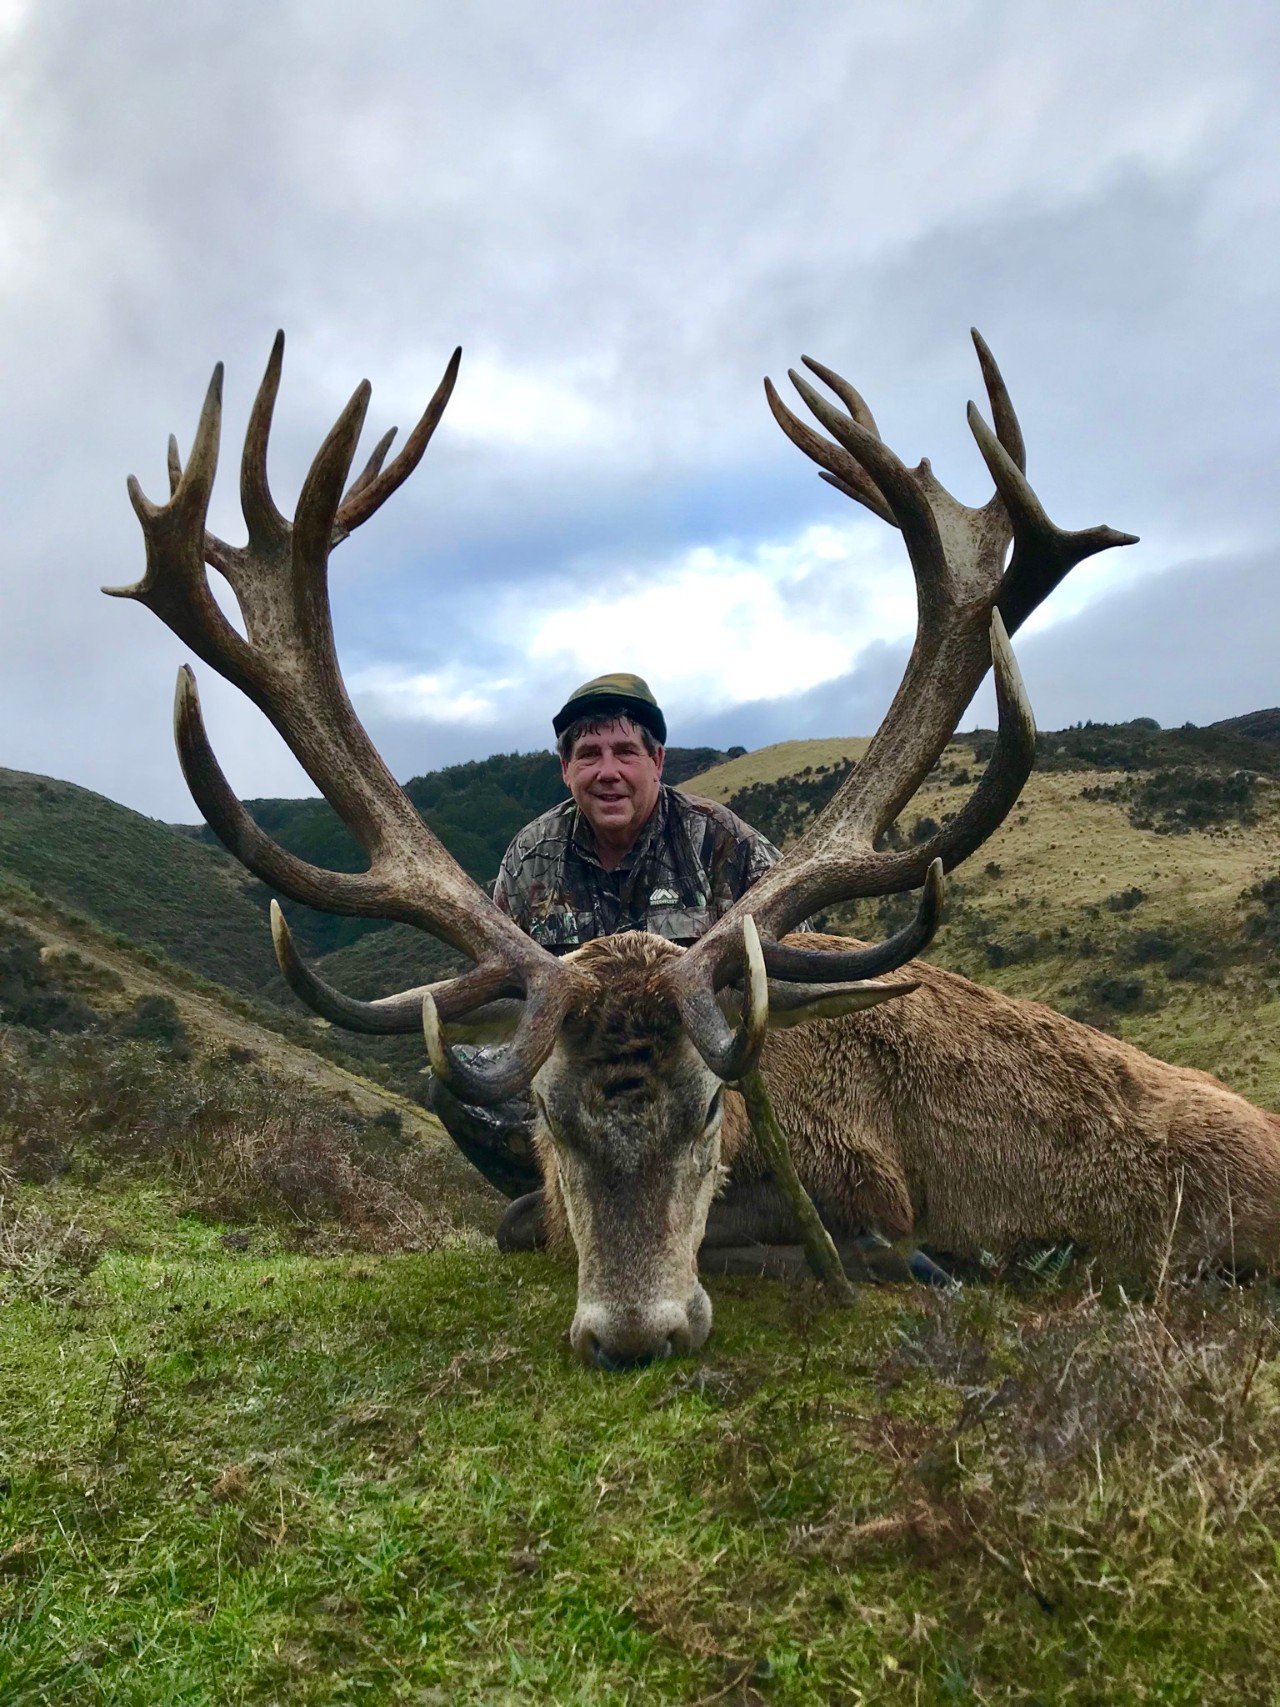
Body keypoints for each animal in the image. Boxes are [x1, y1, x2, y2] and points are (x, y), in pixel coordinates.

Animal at [108, 329, 1280, 1372]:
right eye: (545, 1111)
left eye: (714, 1103)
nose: (636, 1334)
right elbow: (520, 1219)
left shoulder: (870, 1182)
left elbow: (817, 1239)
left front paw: (898, 1264)